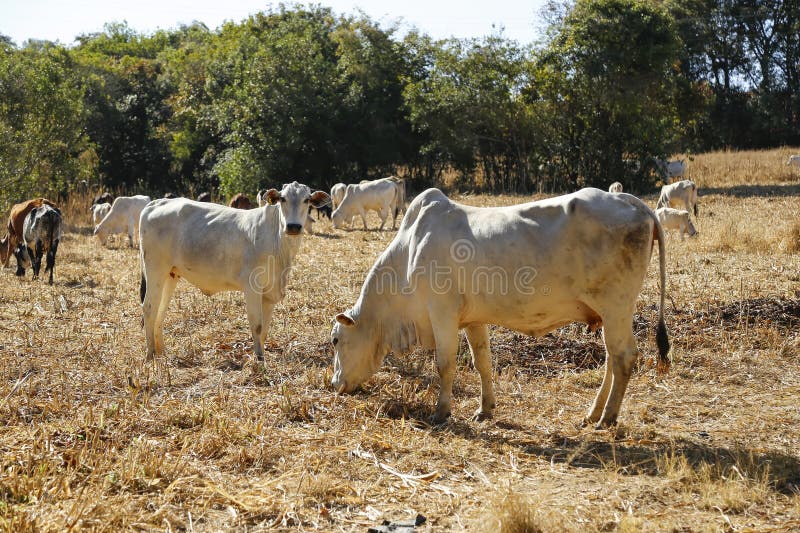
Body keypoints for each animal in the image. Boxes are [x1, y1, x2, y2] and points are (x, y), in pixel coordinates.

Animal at [139, 181, 331, 361]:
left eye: (306, 200)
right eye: (283, 198)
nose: (293, 227)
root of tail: (155, 203)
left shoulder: (270, 294)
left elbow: (265, 329)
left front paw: (261, 354)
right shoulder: (252, 288)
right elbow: (257, 325)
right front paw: (259, 359)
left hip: (171, 274)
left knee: (160, 311)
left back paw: (161, 352)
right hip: (155, 269)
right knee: (149, 307)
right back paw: (150, 354)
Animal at [330, 188, 669, 428]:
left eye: (335, 340)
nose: (334, 384)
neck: (408, 251)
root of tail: (634, 203)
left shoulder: (442, 313)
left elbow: (445, 364)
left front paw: (442, 411)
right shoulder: (472, 320)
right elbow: (482, 363)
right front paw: (485, 409)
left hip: (617, 306)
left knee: (624, 357)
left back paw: (607, 417)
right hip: (611, 315)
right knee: (612, 358)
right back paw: (592, 413)